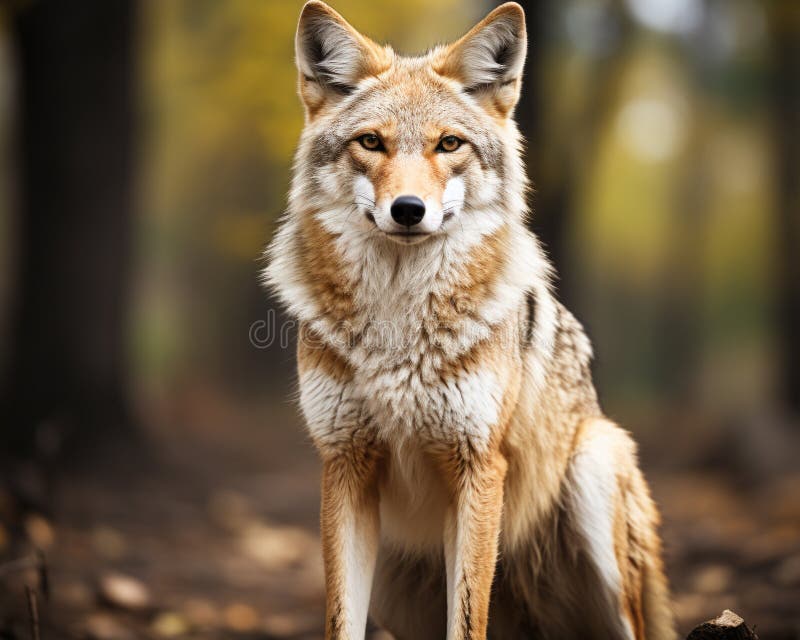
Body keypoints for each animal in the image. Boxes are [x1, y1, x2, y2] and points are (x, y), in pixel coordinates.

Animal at [264, 2, 675, 639]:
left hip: (596, 471)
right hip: (395, 586)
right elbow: (340, 620)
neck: (398, 318)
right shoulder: (345, 464)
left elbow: (467, 617)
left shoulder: (478, 466)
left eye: (449, 143)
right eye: (371, 142)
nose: (408, 210)